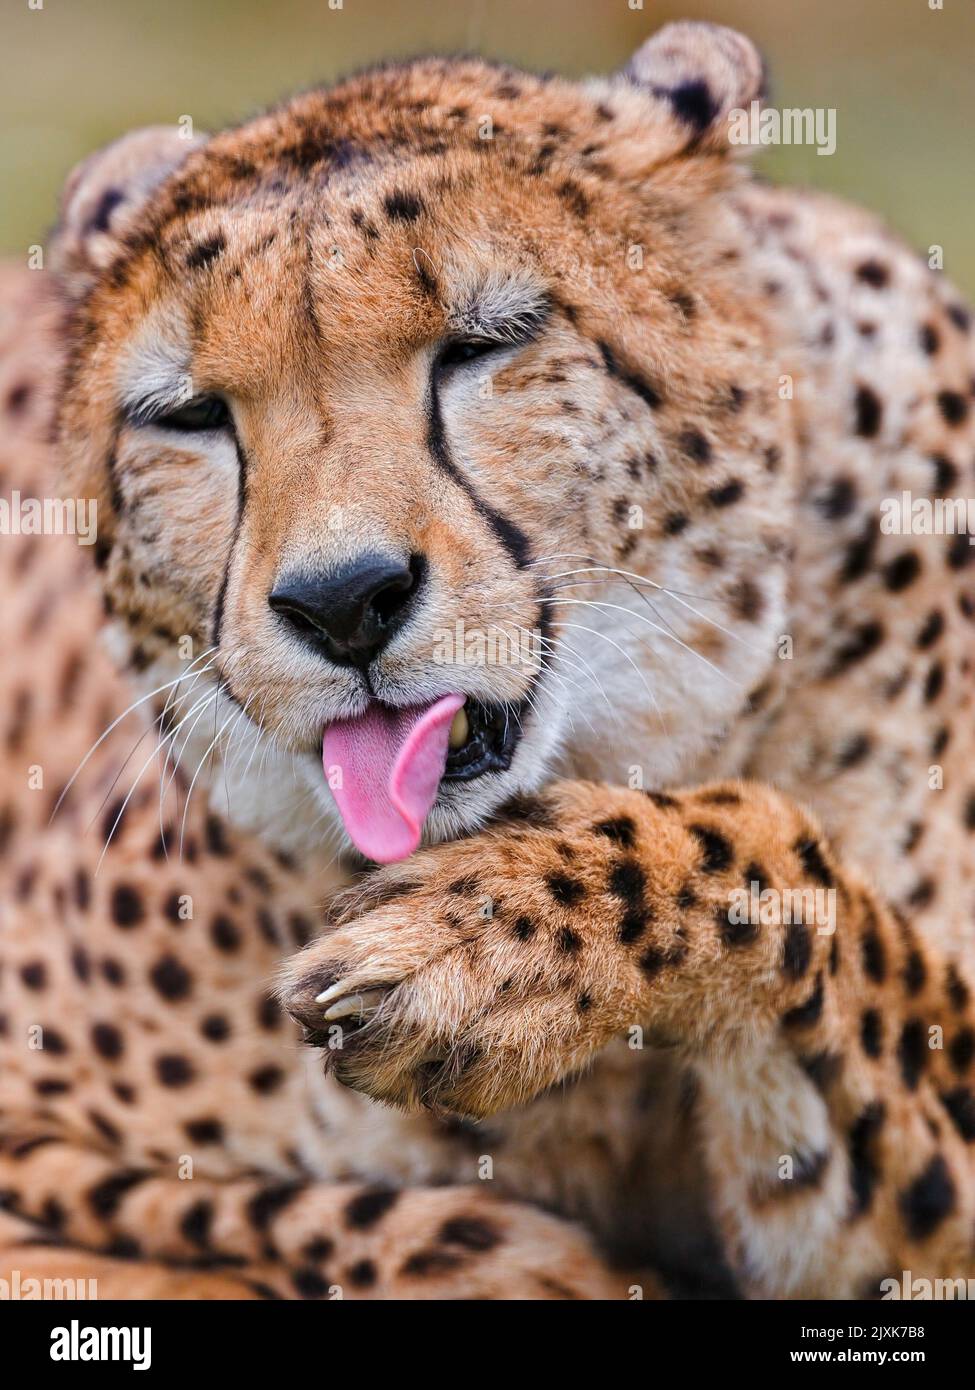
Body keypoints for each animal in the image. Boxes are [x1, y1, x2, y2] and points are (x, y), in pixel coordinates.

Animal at [2, 19, 975, 1301]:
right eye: (190, 414)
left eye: (486, 345)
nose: (343, 600)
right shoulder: (35, 1142)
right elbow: (319, 1215)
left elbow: (778, 854)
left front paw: (478, 951)